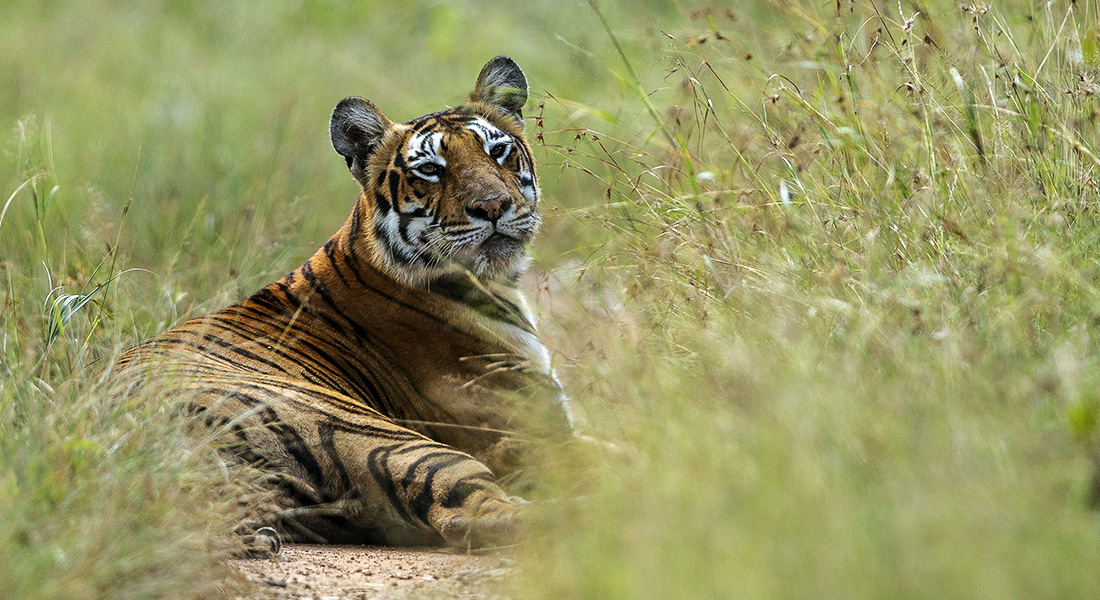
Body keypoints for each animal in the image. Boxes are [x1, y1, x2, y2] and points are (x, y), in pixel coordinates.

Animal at [111, 56, 574, 549]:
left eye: (499, 151)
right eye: (431, 170)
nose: (493, 205)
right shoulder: (530, 430)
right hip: (378, 435)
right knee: (472, 513)